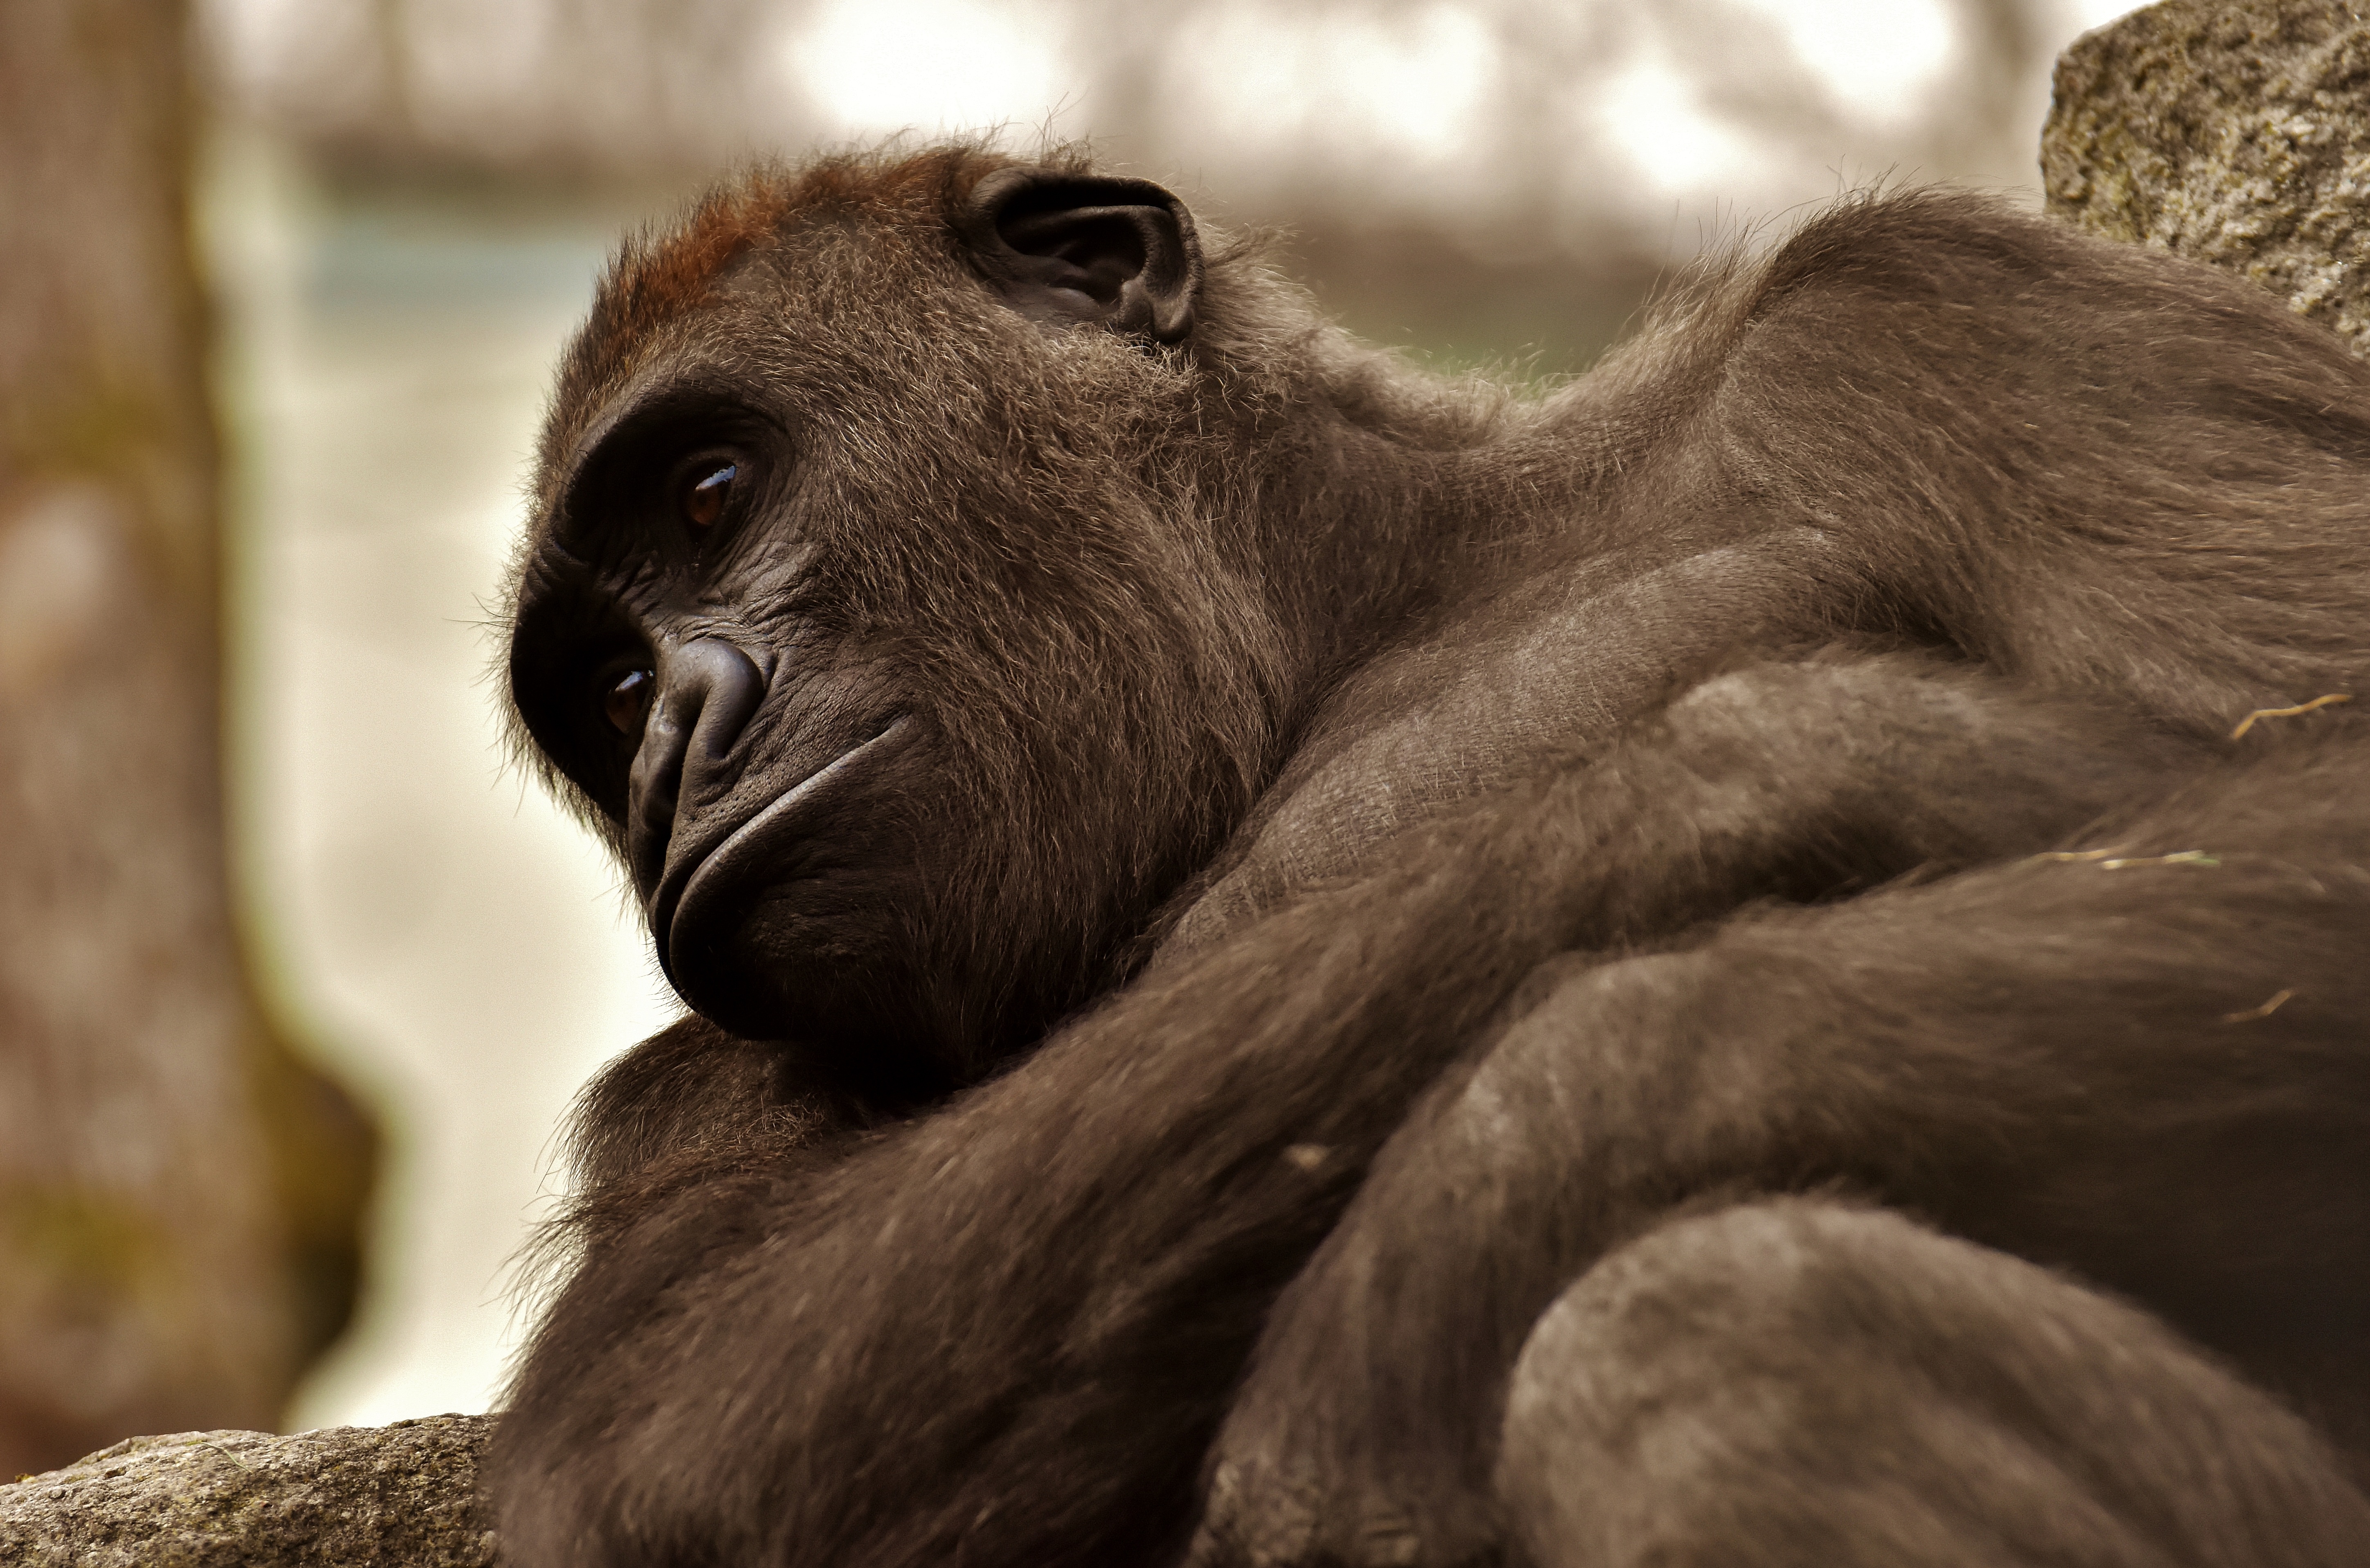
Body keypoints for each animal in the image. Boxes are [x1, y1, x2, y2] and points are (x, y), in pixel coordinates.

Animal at [489, 145, 2370, 1567]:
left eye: (713, 492)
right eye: (609, 688)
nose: (673, 748)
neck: (1367, 598)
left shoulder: (1935, 323)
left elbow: (2324, 781)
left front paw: (1499, 1187)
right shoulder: (698, 1076)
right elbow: (667, 1429)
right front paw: (1808, 767)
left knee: (1710, 1349)